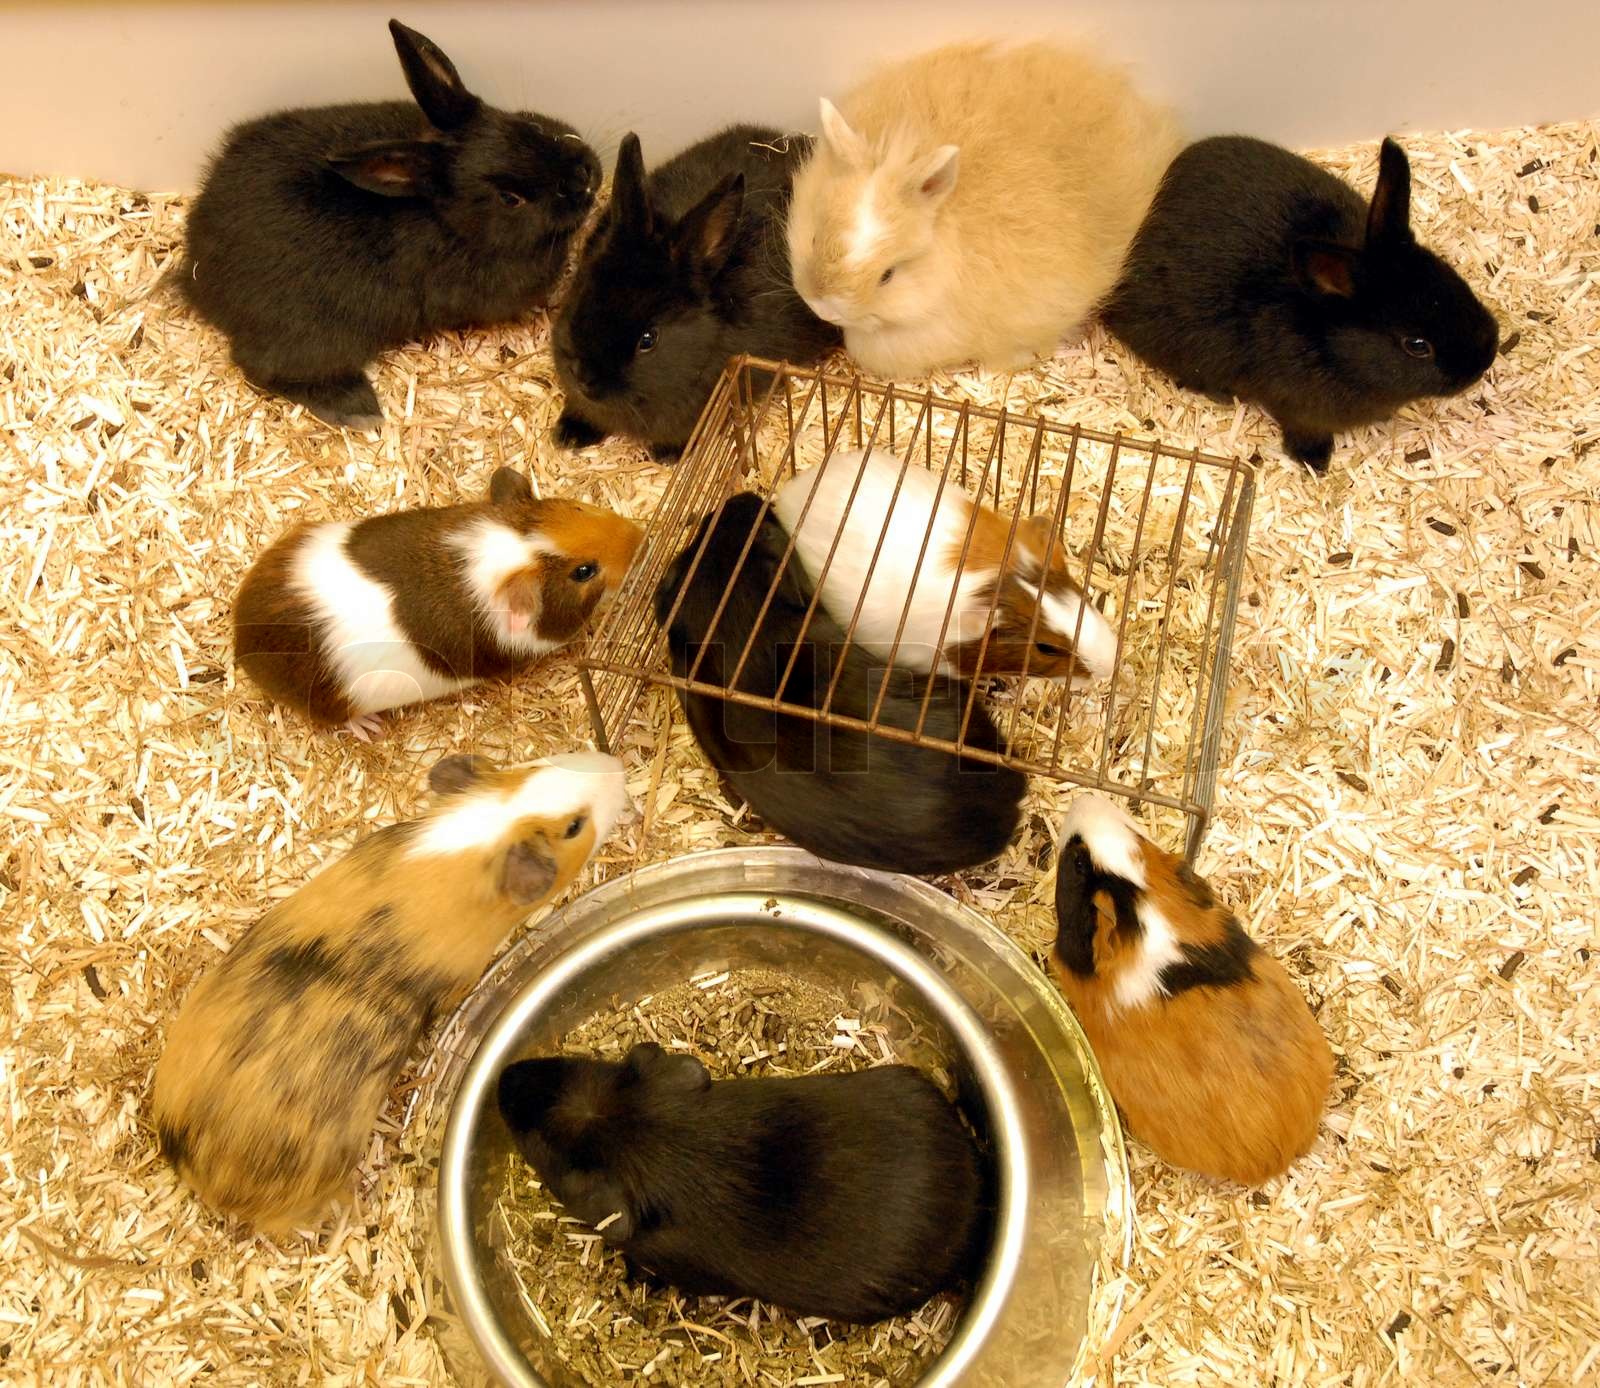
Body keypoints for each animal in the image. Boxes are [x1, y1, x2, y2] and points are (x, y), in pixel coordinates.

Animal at [177, 20, 601, 429]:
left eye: (530, 128)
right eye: (510, 198)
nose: (586, 177)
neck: (454, 222)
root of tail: (197, 275)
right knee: (260, 367)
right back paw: (356, 408)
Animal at [232, 467, 642, 738]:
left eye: (579, 509)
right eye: (584, 571)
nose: (641, 536)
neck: (509, 551)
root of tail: (243, 641)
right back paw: (369, 727)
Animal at [1101, 136, 1500, 472]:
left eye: (1452, 279)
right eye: (1417, 346)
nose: (1484, 360)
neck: (1335, 347)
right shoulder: (1299, 410)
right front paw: (1315, 461)